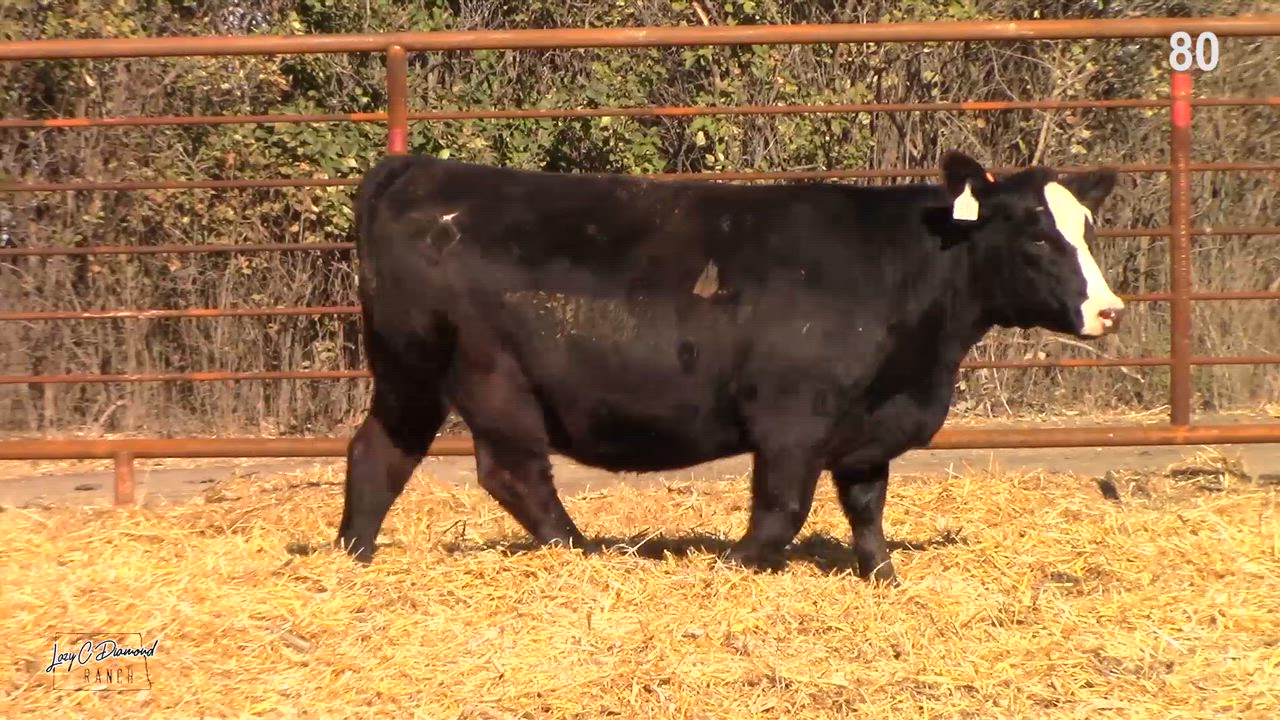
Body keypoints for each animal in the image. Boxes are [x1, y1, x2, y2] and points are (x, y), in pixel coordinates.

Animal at [335, 150, 1124, 584]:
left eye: (1085, 228)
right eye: (1035, 235)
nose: (1111, 310)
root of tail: (417, 169)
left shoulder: (870, 426)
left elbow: (867, 509)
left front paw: (885, 577)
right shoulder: (791, 419)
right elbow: (782, 510)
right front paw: (734, 565)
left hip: (409, 376)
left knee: (379, 452)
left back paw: (354, 554)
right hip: (491, 378)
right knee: (515, 474)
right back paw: (583, 552)